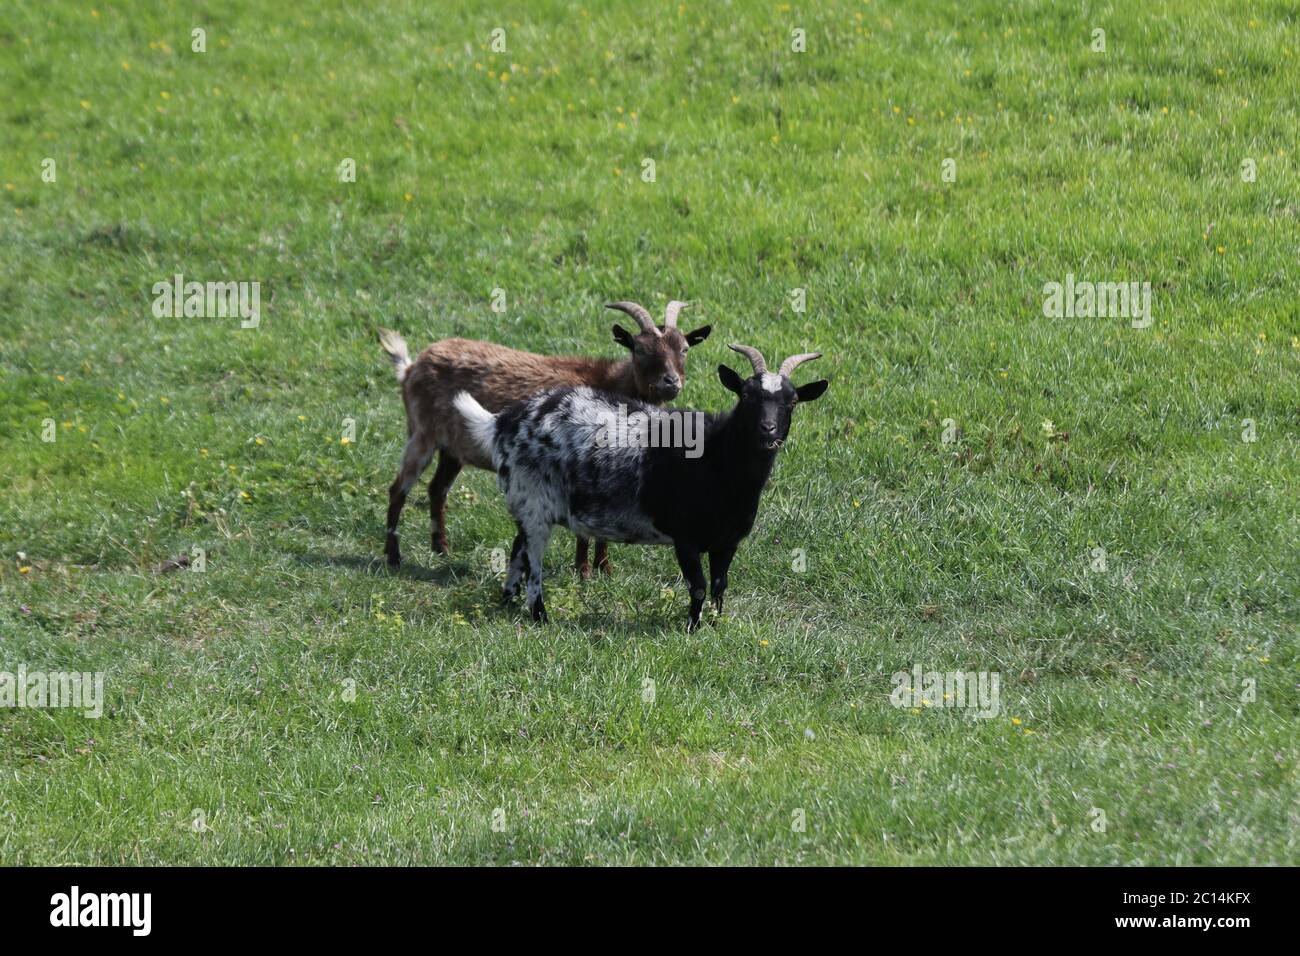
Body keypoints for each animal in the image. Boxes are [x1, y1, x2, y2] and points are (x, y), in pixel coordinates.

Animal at [377, 301, 711, 573]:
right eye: (640, 349)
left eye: (684, 348)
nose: (670, 382)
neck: (612, 384)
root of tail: (411, 368)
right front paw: (584, 572)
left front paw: (604, 568)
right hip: (422, 435)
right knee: (398, 489)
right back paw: (394, 558)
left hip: (452, 449)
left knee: (437, 490)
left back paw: (441, 549)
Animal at [452, 343, 829, 630]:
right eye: (747, 396)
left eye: (792, 401)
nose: (768, 430)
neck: (716, 459)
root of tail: (503, 422)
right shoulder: (685, 539)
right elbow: (698, 586)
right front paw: (692, 628)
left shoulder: (727, 541)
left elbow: (720, 585)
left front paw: (715, 624)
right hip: (533, 501)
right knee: (533, 558)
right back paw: (539, 614)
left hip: (528, 505)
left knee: (518, 548)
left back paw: (508, 600)